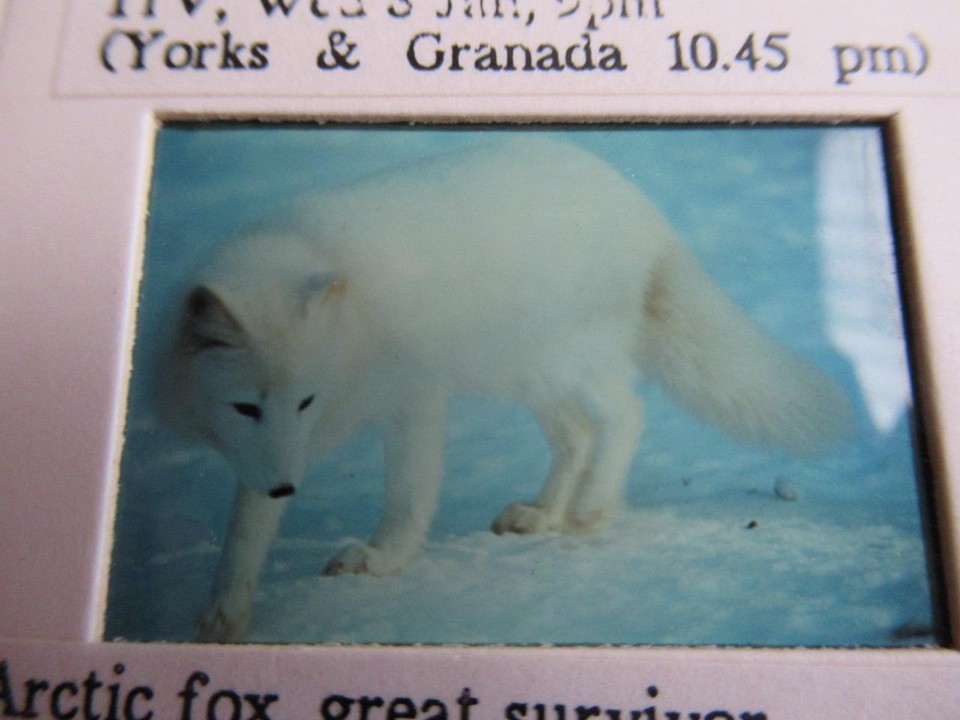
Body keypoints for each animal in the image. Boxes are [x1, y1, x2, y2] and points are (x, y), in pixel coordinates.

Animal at [158, 137, 854, 643]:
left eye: (305, 398)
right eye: (245, 406)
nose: (288, 487)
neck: (350, 325)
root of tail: (643, 209)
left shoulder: (411, 395)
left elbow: (409, 493)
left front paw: (382, 561)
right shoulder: (269, 447)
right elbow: (245, 527)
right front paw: (222, 615)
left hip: (566, 360)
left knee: (624, 414)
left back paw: (591, 509)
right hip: (525, 370)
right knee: (577, 435)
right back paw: (543, 515)